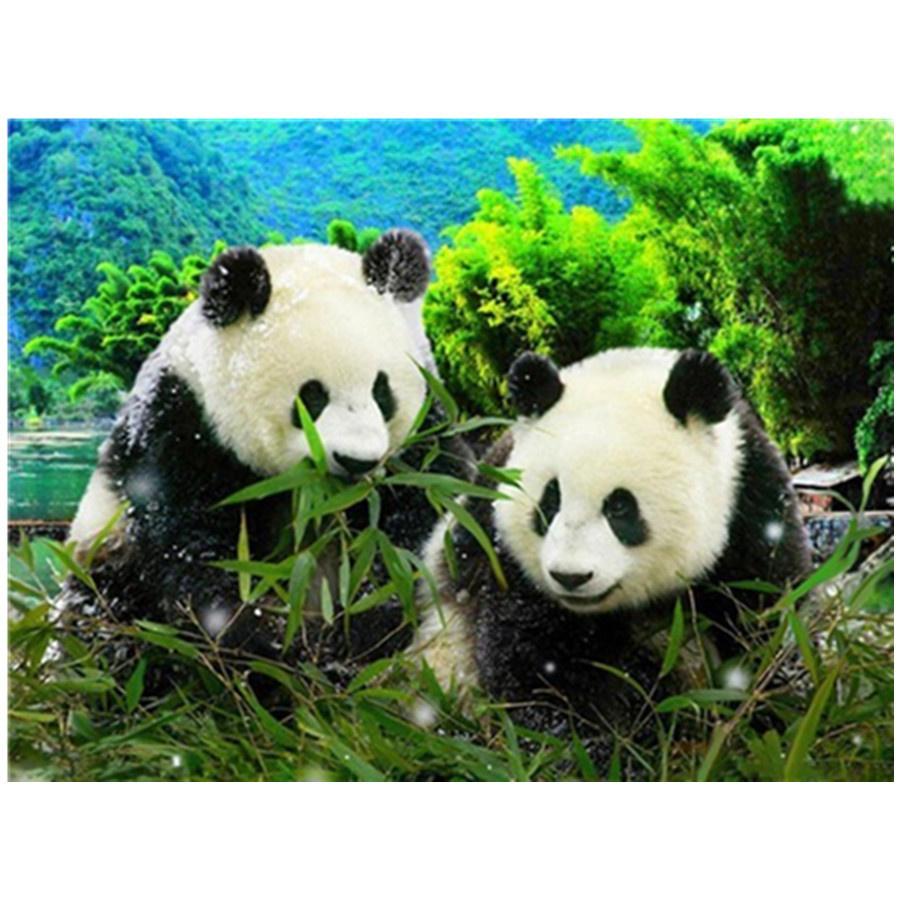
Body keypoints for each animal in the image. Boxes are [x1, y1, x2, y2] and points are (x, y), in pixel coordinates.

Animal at [62, 229, 471, 672]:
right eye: (312, 396)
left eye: (382, 391)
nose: (357, 461)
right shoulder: (180, 430)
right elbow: (192, 548)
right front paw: (266, 641)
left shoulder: (424, 438)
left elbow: (421, 524)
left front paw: (357, 627)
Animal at [410, 347, 811, 737]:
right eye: (550, 500)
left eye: (620, 506)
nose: (570, 577)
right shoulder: (502, 557)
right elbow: (538, 661)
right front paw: (583, 741)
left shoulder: (751, 509)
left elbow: (762, 619)